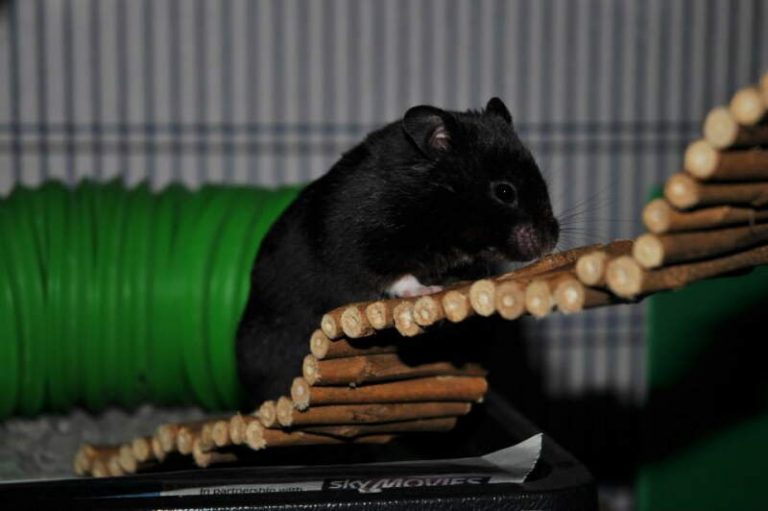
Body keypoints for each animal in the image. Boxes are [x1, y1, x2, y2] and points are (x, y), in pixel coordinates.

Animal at [235, 97, 559, 404]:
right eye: (504, 191)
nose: (551, 242)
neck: (432, 195)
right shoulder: (370, 246)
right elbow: (397, 275)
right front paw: (427, 290)